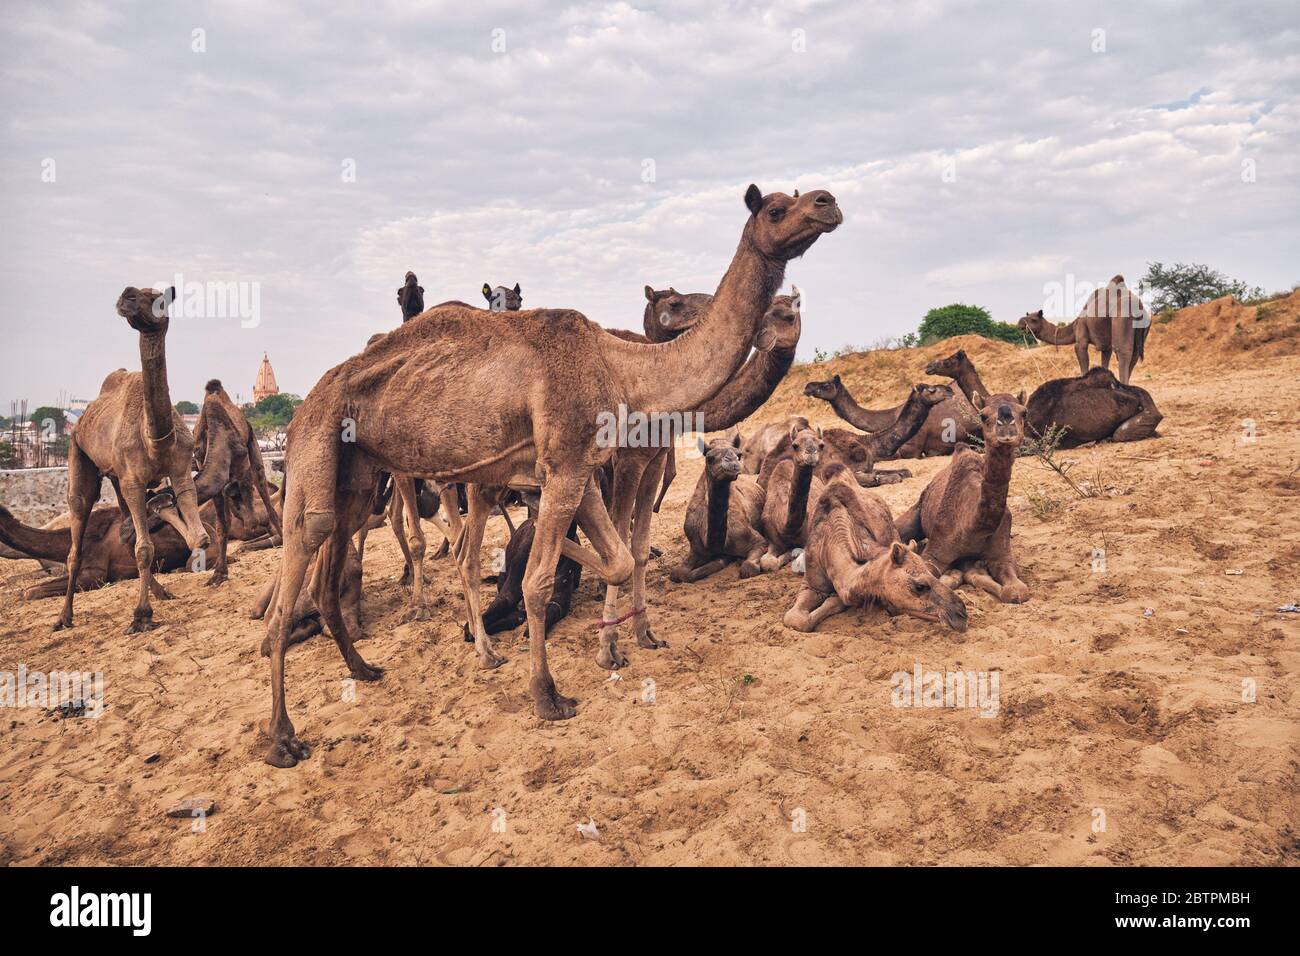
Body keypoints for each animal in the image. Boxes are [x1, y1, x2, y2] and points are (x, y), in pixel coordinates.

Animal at [55, 287, 209, 633]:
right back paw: (63, 617)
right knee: (78, 523)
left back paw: (161, 591)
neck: (155, 440)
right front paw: (141, 615)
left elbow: (198, 537)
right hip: (78, 450)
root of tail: (83, 416)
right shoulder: (134, 481)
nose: (126, 297)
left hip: (117, 476)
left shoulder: (180, 470)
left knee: (128, 528)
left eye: (159, 299)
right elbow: (145, 547)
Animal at [669, 435, 768, 581]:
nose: (732, 463)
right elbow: (677, 573)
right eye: (709, 458)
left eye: (739, 454)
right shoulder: (695, 546)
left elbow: (748, 568)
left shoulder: (756, 540)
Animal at [895, 390, 1031, 603]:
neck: (974, 527)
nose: (1006, 421)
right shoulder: (935, 552)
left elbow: (1017, 591)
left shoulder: (1003, 555)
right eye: (983, 415)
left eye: (1024, 412)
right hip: (915, 511)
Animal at [1016, 275, 1150, 384]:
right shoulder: (1105, 345)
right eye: (1027, 316)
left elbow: (1082, 358)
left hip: (1122, 319)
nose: (1020, 322)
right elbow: (1105, 360)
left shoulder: (1081, 336)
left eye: (1033, 319)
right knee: (1135, 355)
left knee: (1123, 352)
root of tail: (1139, 306)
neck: (1075, 324)